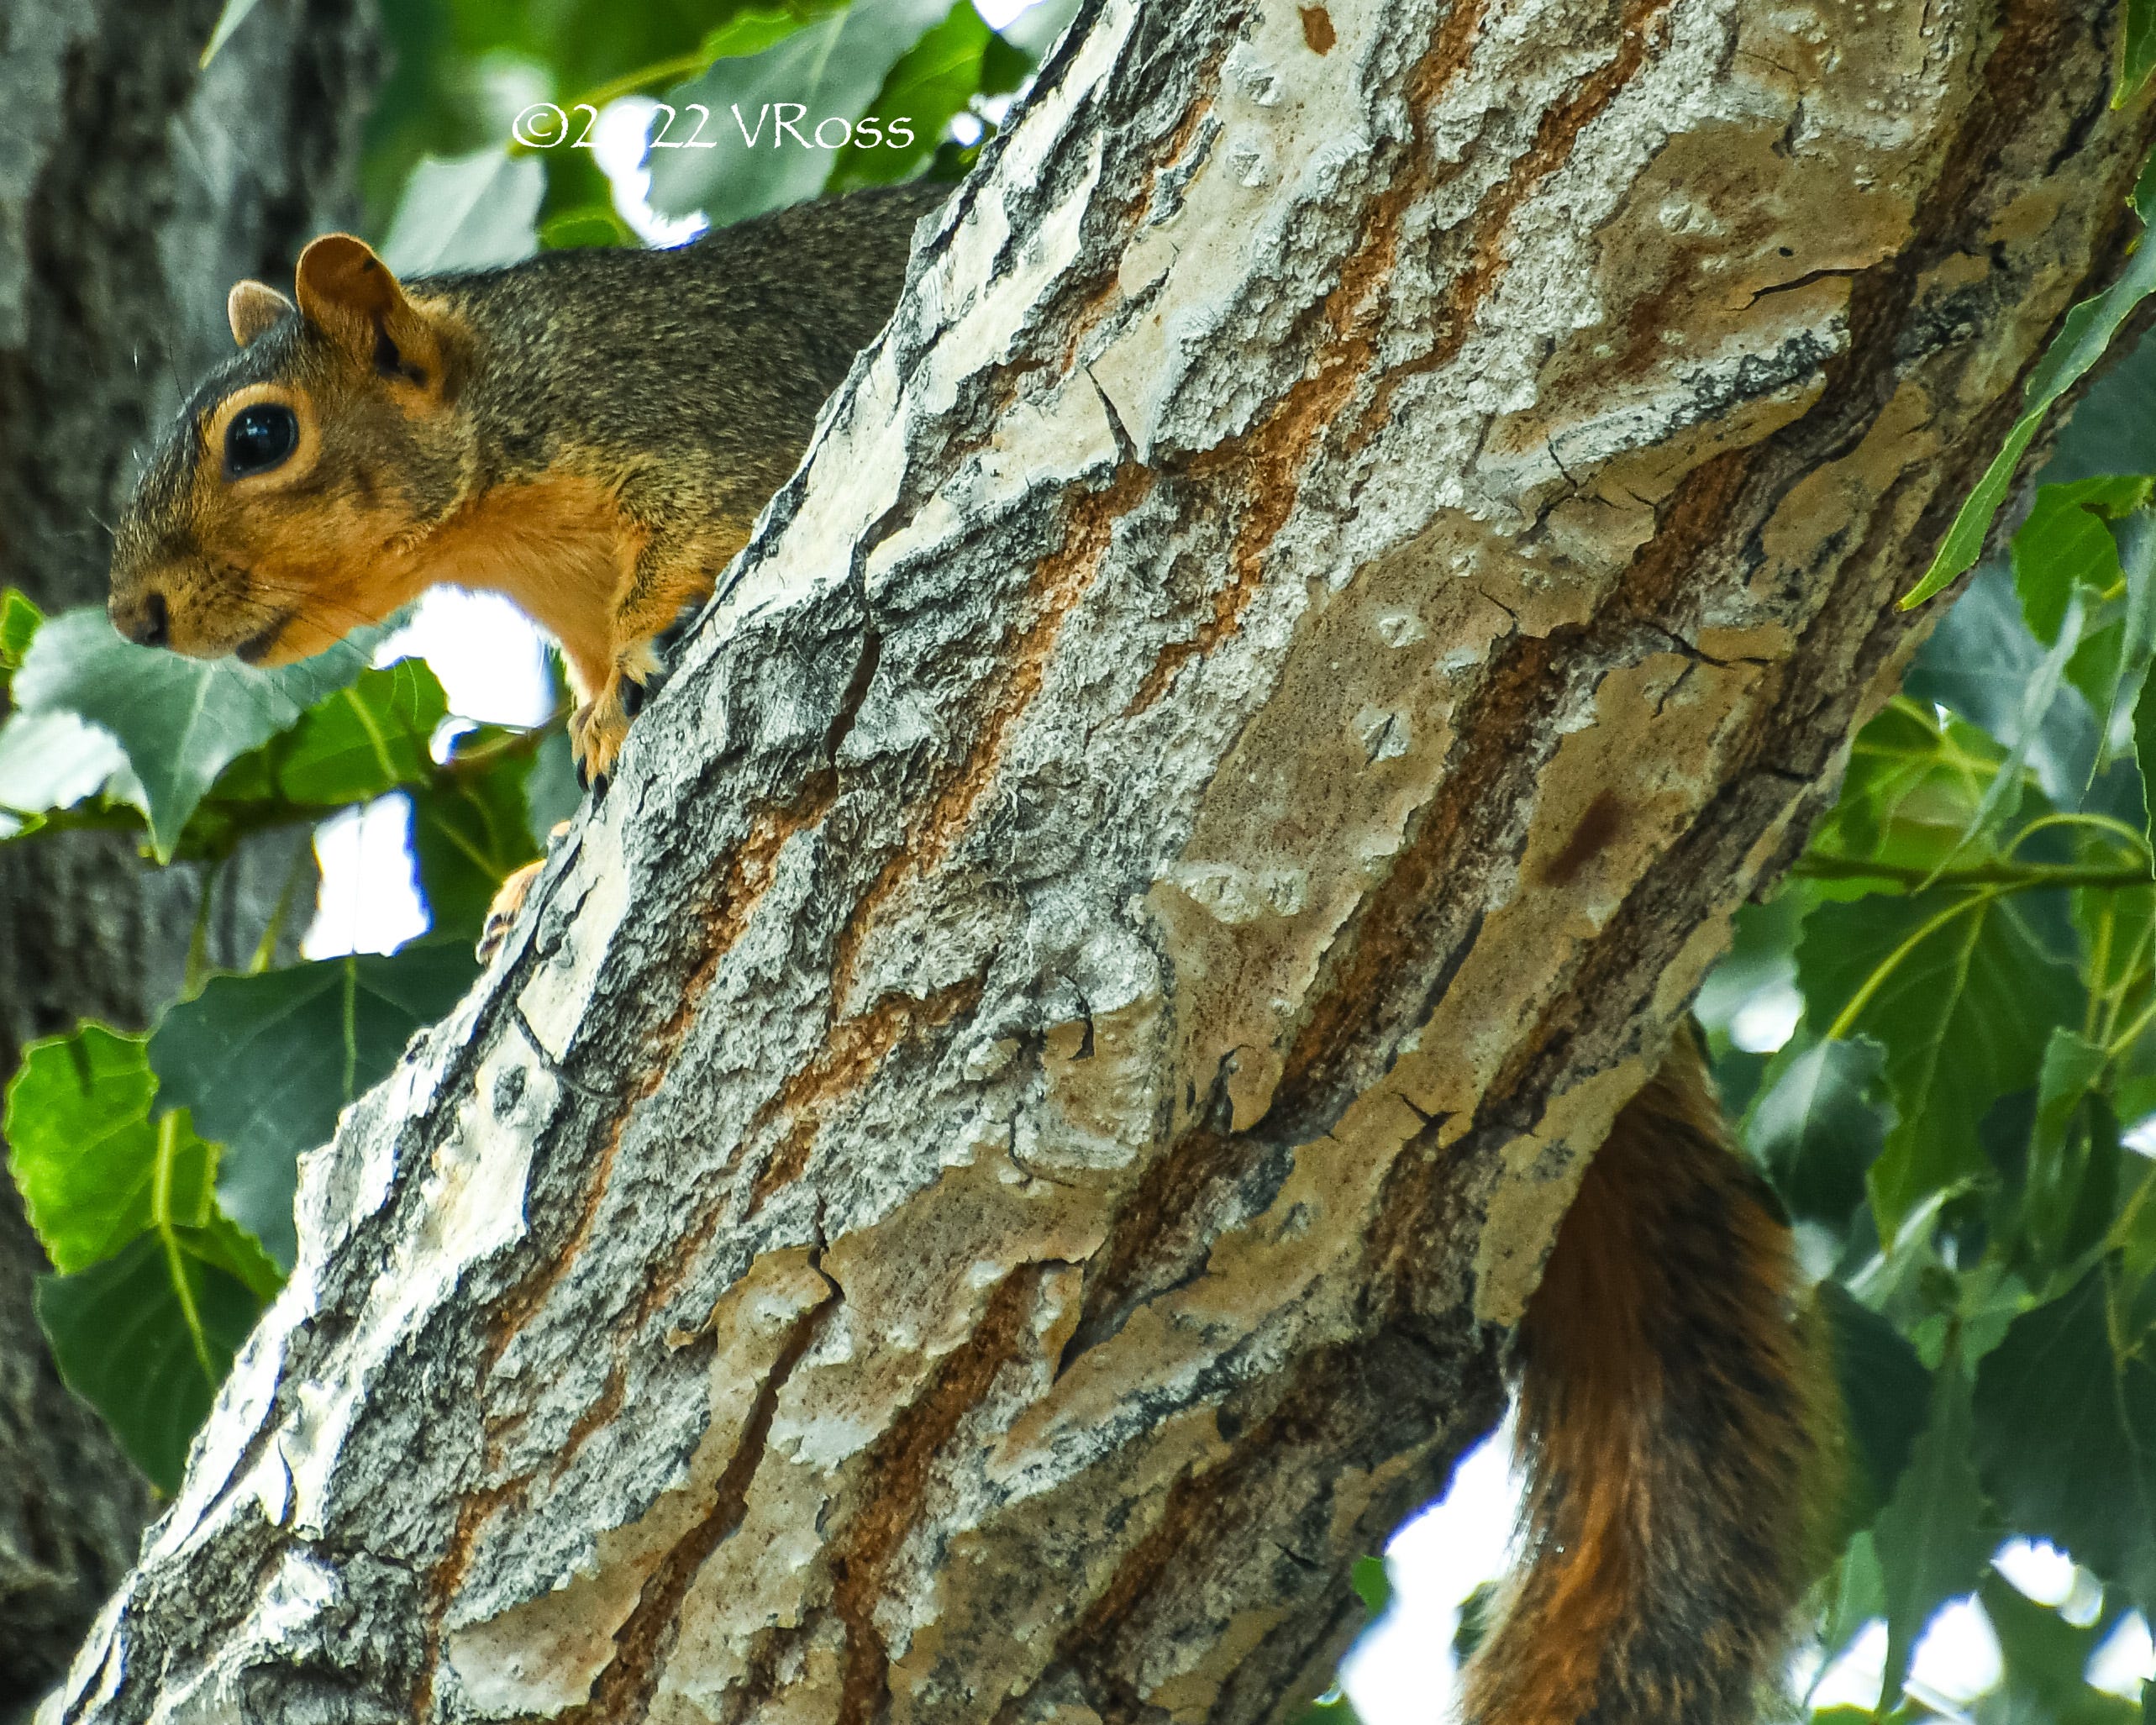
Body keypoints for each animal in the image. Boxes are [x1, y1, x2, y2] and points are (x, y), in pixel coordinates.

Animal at [105, 182, 1829, 1724]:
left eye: (260, 435)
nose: (134, 615)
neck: (517, 468)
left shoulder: (704, 419)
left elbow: (695, 547)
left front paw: (646, 657)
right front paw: (541, 853)